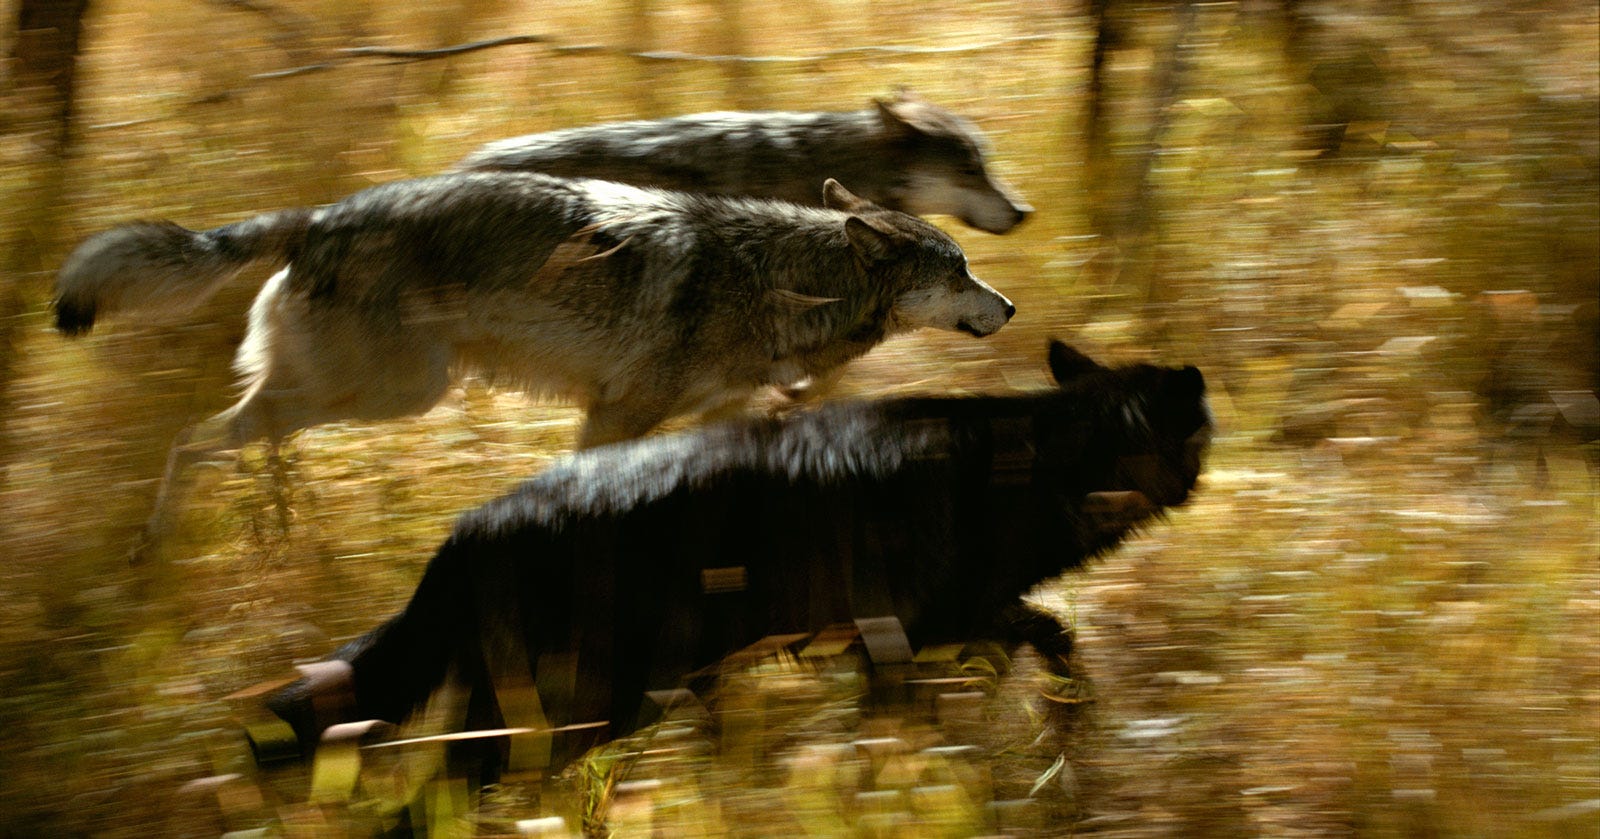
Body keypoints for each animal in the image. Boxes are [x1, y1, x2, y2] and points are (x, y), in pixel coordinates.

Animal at [53, 174, 1014, 551]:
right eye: (960, 269)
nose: (1009, 308)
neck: (779, 277)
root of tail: (319, 215)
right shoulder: (616, 414)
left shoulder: (716, 410)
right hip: (391, 392)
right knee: (194, 436)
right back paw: (158, 541)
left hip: (363, 393)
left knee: (237, 434)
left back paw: (272, 525)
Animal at [260, 341, 1210, 773]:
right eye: (1192, 426)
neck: (1030, 461)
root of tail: (461, 533)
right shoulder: (917, 630)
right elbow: (1038, 645)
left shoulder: (927, 631)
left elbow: (1045, 643)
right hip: (592, 704)